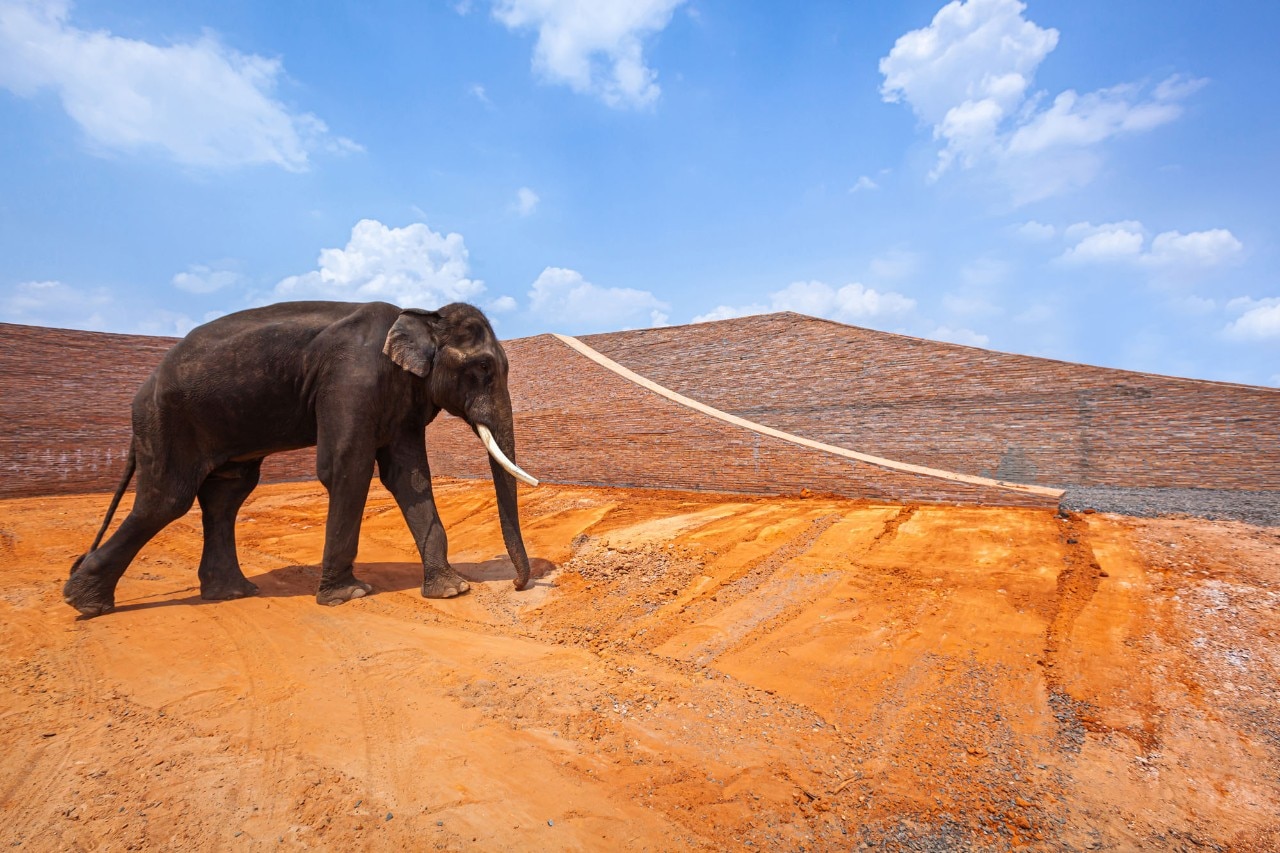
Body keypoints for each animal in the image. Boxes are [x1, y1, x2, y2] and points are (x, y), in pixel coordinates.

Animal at [63, 300, 539, 617]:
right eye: (483, 369)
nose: (519, 584)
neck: (422, 314)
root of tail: (144, 386)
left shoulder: (399, 399)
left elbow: (409, 477)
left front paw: (452, 590)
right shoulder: (351, 379)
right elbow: (346, 466)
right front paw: (348, 596)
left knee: (226, 495)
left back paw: (232, 593)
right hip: (166, 422)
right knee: (166, 499)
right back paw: (83, 602)